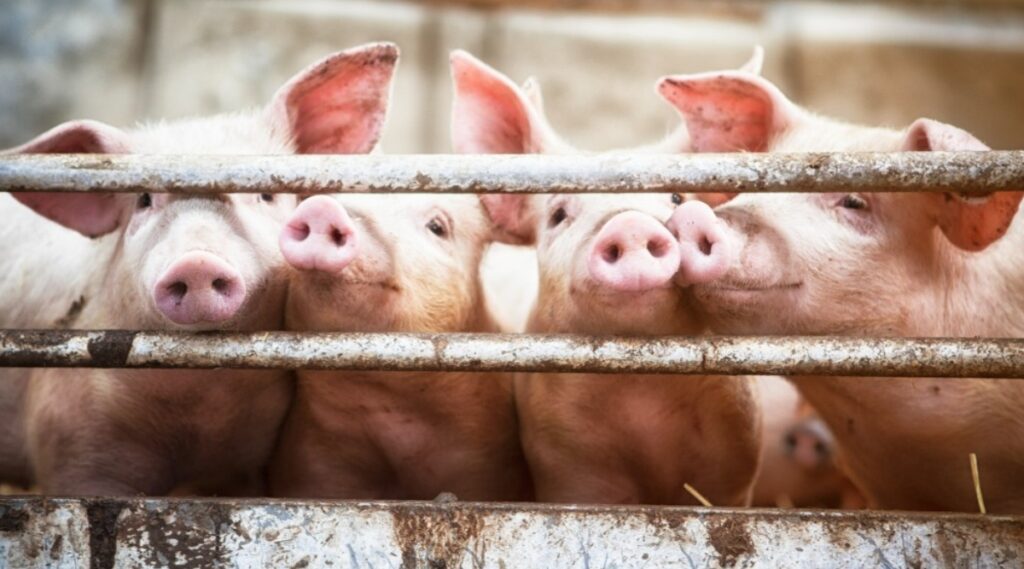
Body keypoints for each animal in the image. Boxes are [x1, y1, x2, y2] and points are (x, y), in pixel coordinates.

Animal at [451, 50, 760, 505]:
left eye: (676, 197)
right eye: (559, 214)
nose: (629, 224)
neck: (640, 394)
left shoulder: (735, 460)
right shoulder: (567, 464)